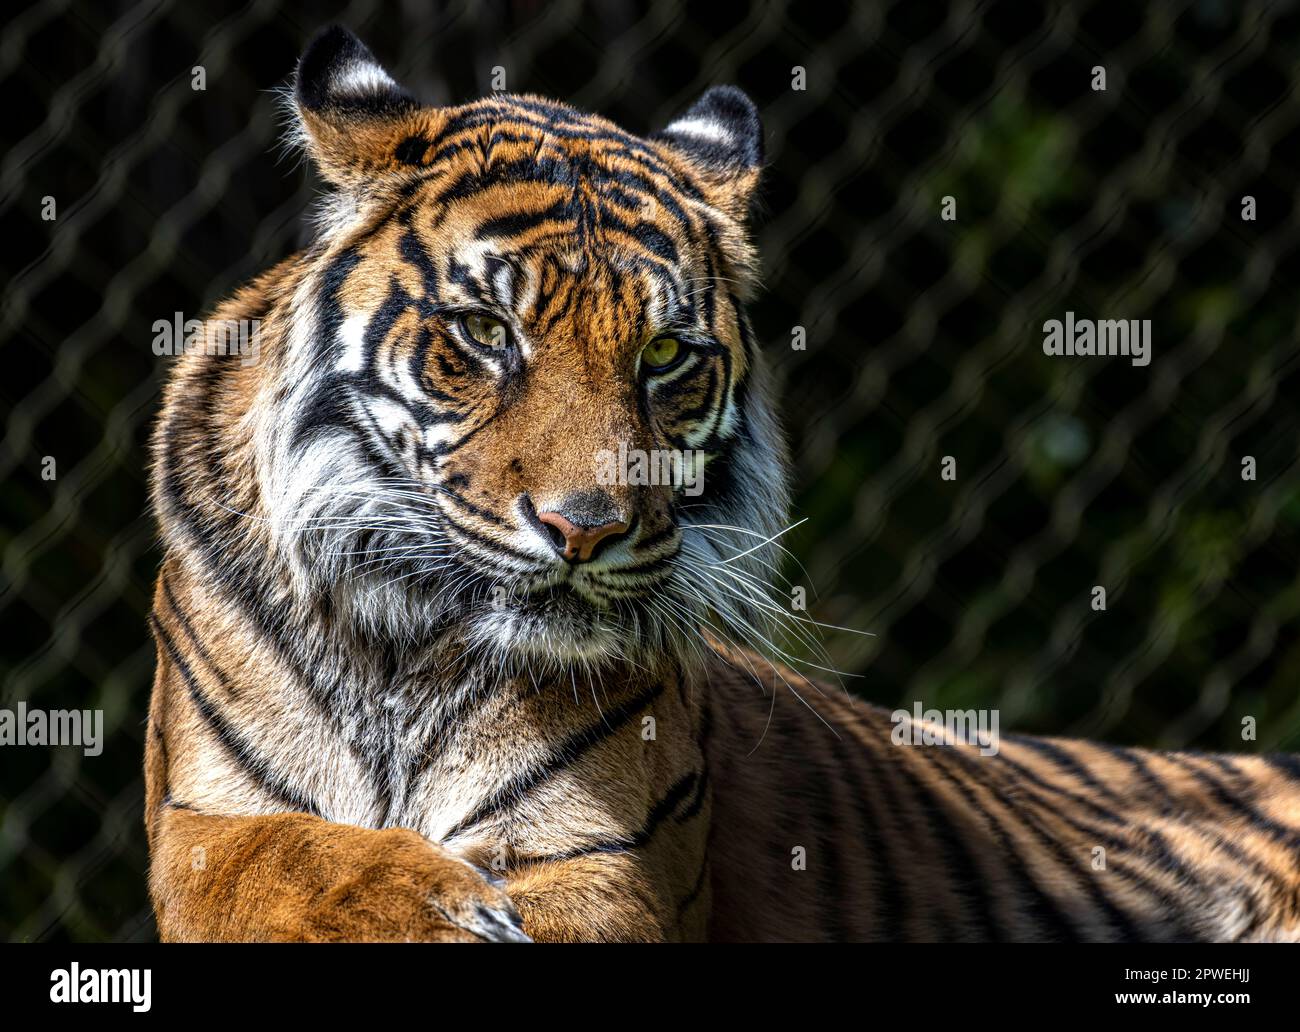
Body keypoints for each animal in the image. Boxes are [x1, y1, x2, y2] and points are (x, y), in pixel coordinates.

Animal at [145, 24, 1300, 943]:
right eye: (485, 332)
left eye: (663, 355)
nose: (584, 529)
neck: (405, 655)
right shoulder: (190, 823)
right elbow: (265, 854)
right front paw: (433, 901)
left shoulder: (610, 869)